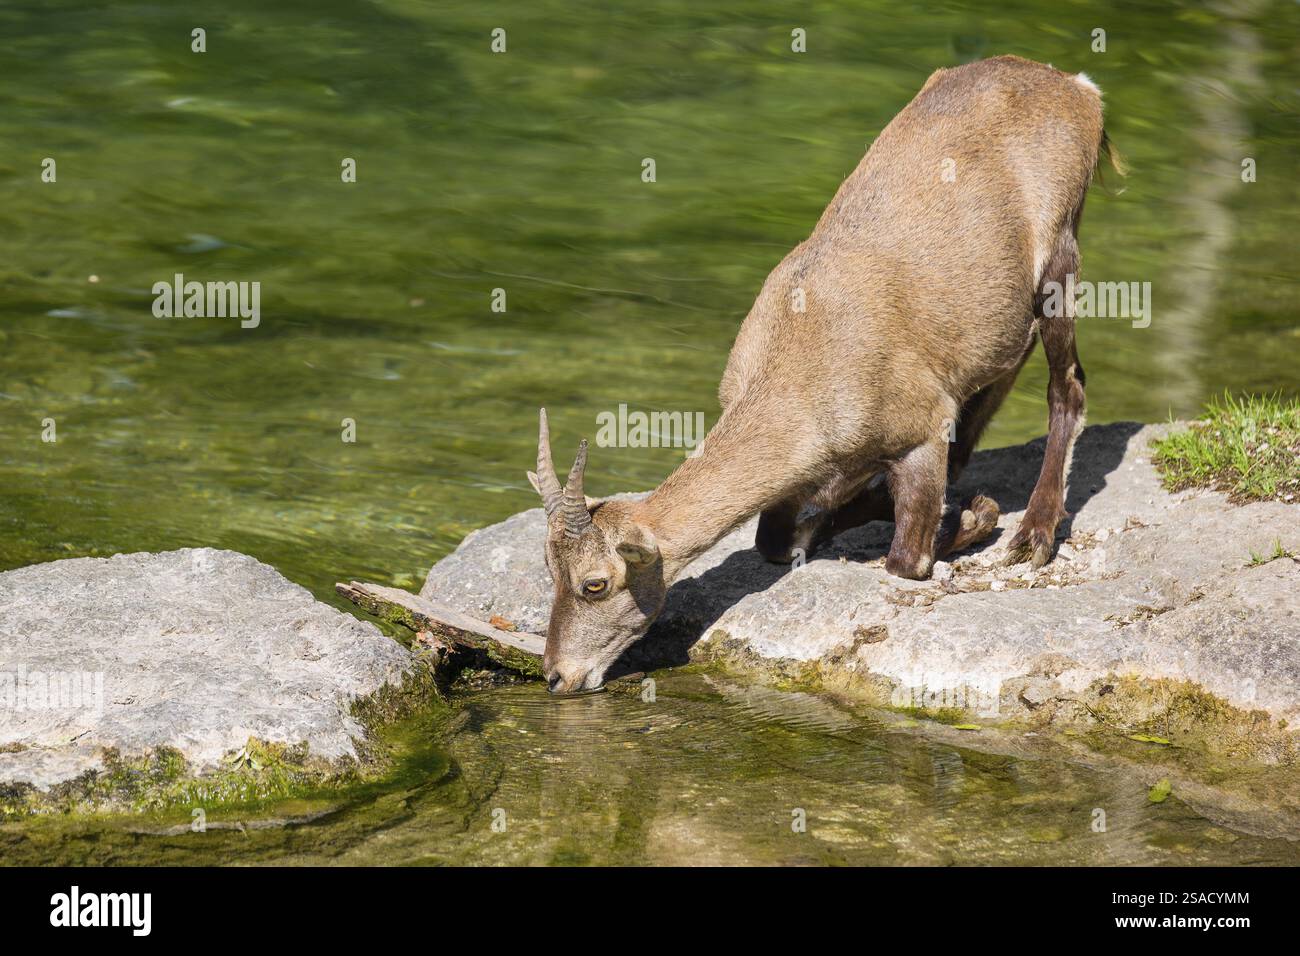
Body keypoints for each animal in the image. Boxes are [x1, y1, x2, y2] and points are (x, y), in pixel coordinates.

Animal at [529, 56, 1120, 693]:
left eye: (595, 583)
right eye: (548, 568)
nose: (556, 675)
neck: (800, 375)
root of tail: (1078, 90)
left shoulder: (921, 425)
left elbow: (908, 558)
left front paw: (976, 516)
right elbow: (777, 536)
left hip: (1061, 254)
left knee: (1068, 386)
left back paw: (1032, 534)